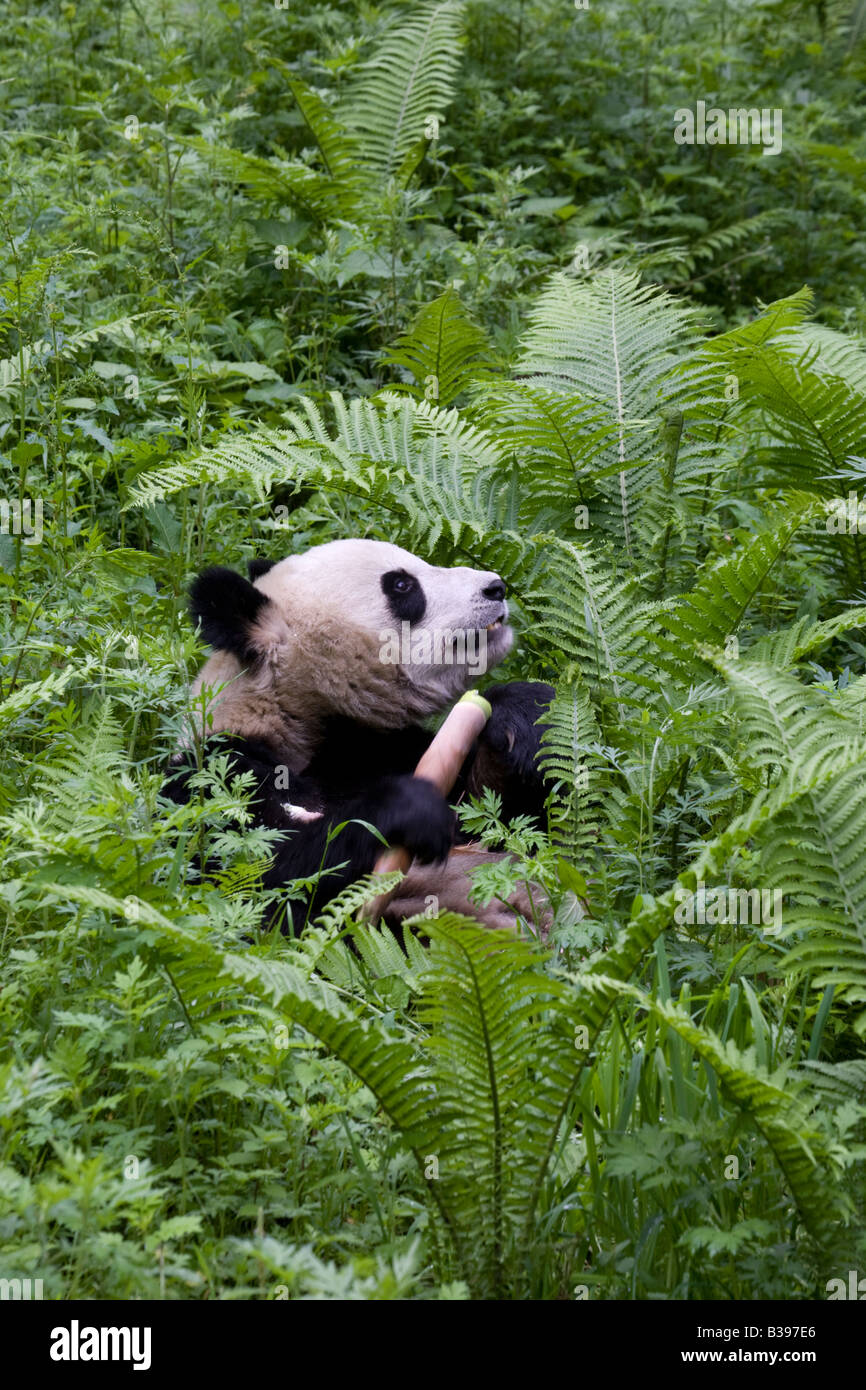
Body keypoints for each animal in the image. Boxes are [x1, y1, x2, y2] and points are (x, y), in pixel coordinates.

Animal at [163, 538, 554, 934]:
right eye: (402, 585)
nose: (496, 587)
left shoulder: (378, 746)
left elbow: (500, 815)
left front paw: (522, 714)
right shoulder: (216, 774)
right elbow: (259, 883)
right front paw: (411, 807)